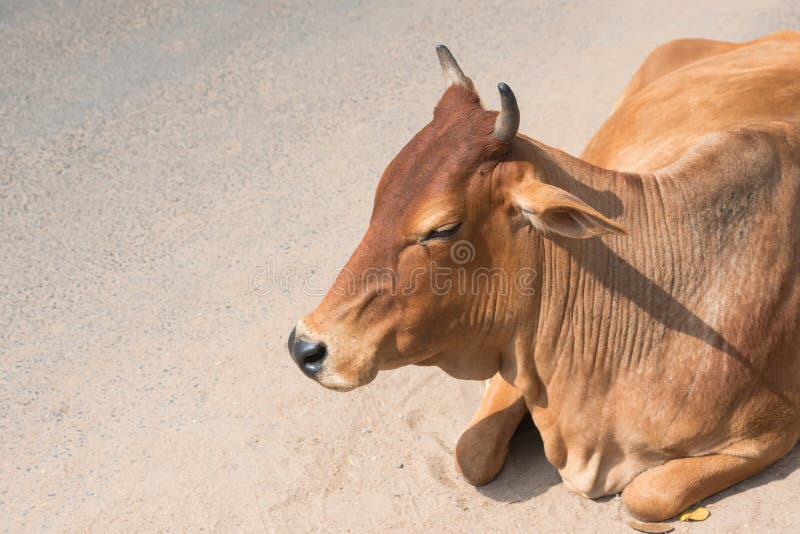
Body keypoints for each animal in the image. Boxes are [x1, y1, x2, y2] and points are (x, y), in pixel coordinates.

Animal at [287, 32, 800, 522]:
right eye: (378, 197)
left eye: (443, 229)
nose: (306, 347)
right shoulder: (518, 354)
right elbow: (471, 453)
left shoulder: (773, 431)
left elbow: (646, 496)